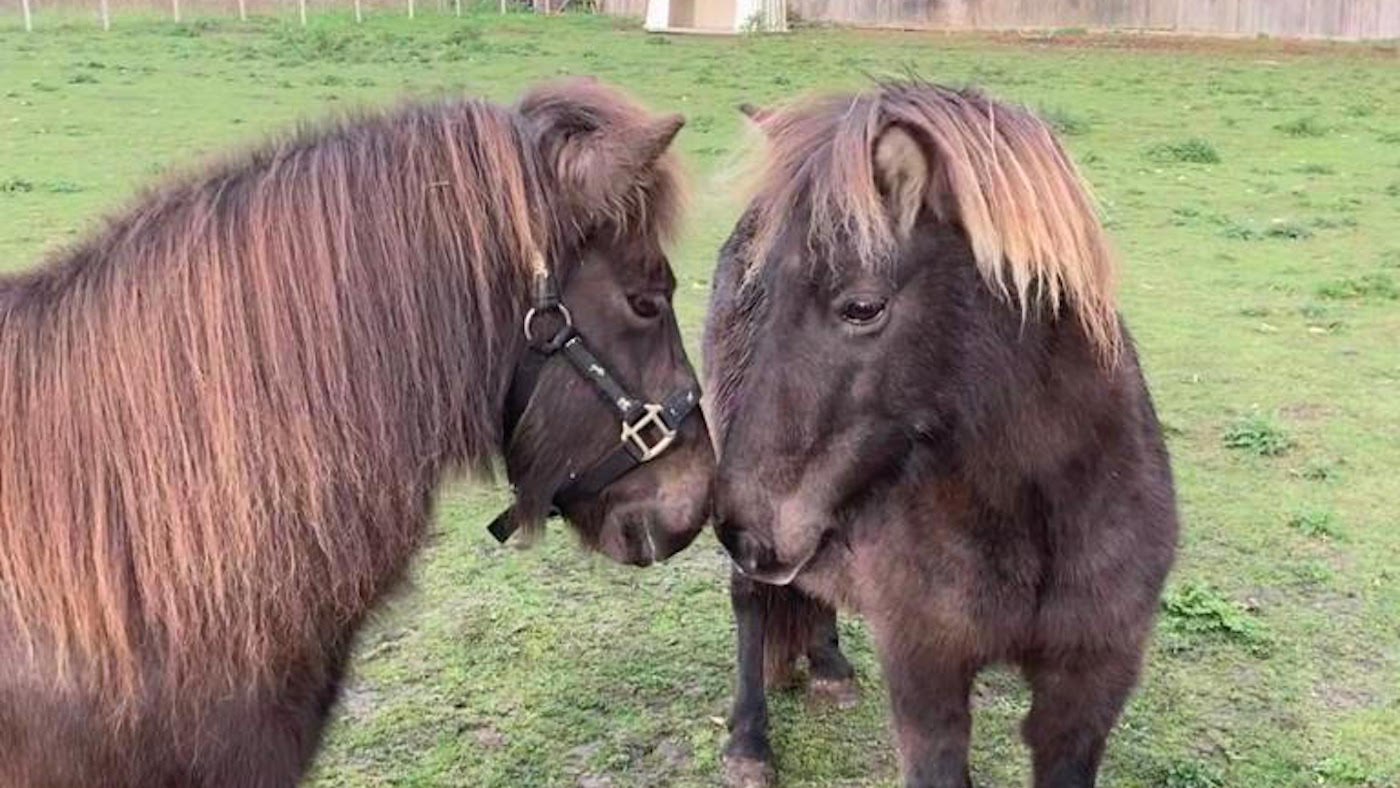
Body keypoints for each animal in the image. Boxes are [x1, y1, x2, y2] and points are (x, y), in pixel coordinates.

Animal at [704, 81, 1178, 788]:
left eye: (862, 307)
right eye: (760, 298)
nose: (746, 530)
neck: (1033, 511)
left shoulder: (1089, 687)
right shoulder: (927, 676)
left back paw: (829, 668)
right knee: (749, 601)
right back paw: (748, 743)